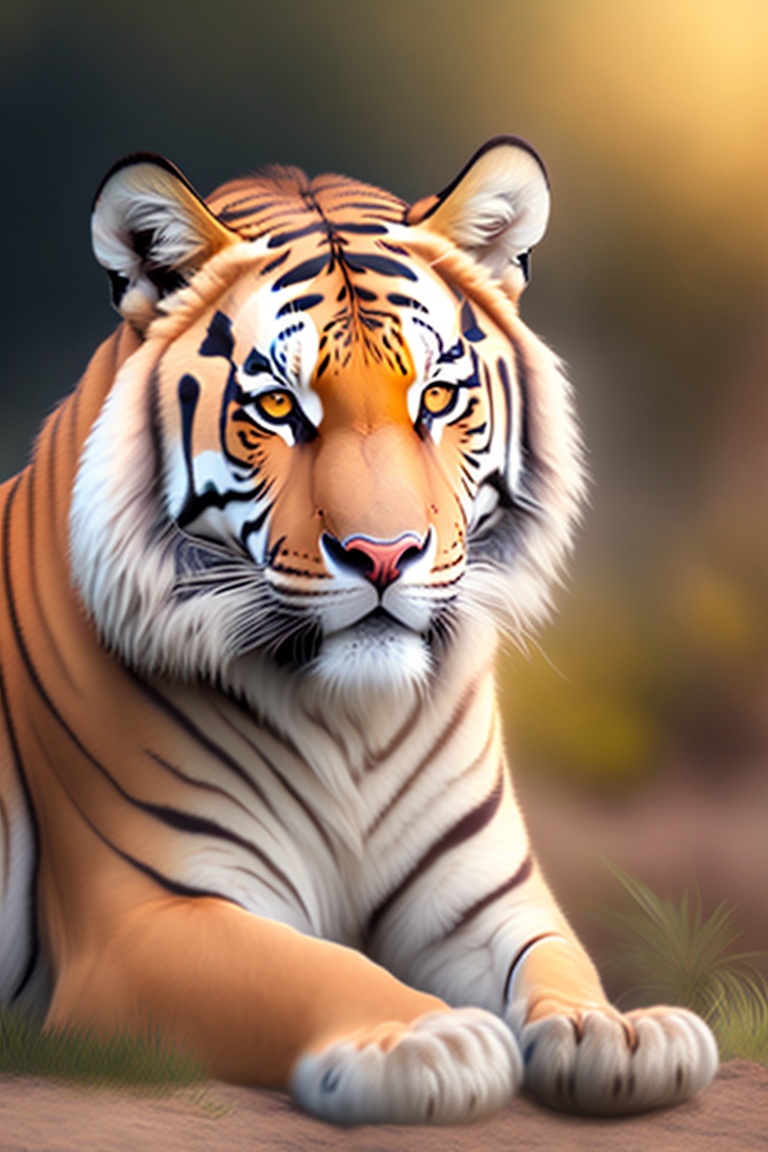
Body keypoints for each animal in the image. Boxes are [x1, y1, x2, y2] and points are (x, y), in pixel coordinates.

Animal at [0, 137, 717, 1125]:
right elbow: (311, 971)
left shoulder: (481, 898)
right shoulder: (143, 922)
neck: (350, 719)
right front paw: (425, 1040)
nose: (385, 555)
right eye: (276, 409)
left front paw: (616, 1033)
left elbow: (555, 958)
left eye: (440, 397)